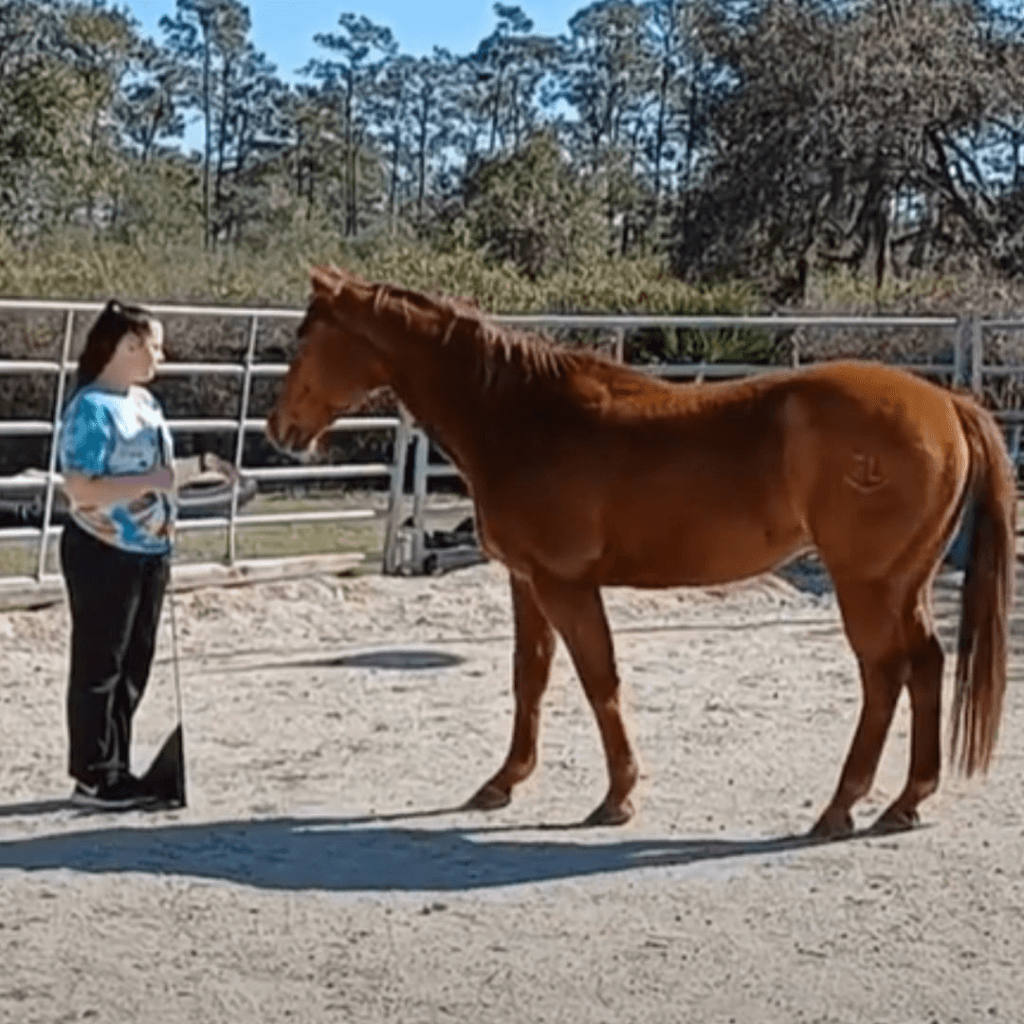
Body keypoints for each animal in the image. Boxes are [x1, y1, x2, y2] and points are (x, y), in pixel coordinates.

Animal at [267, 264, 1016, 839]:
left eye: (305, 337)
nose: (280, 430)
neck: (521, 416)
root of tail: (947, 403)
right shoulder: (526, 582)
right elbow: (530, 680)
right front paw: (503, 782)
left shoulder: (565, 584)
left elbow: (600, 681)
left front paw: (618, 796)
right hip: (903, 583)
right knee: (925, 667)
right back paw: (904, 801)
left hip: (865, 584)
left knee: (885, 675)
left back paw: (842, 805)